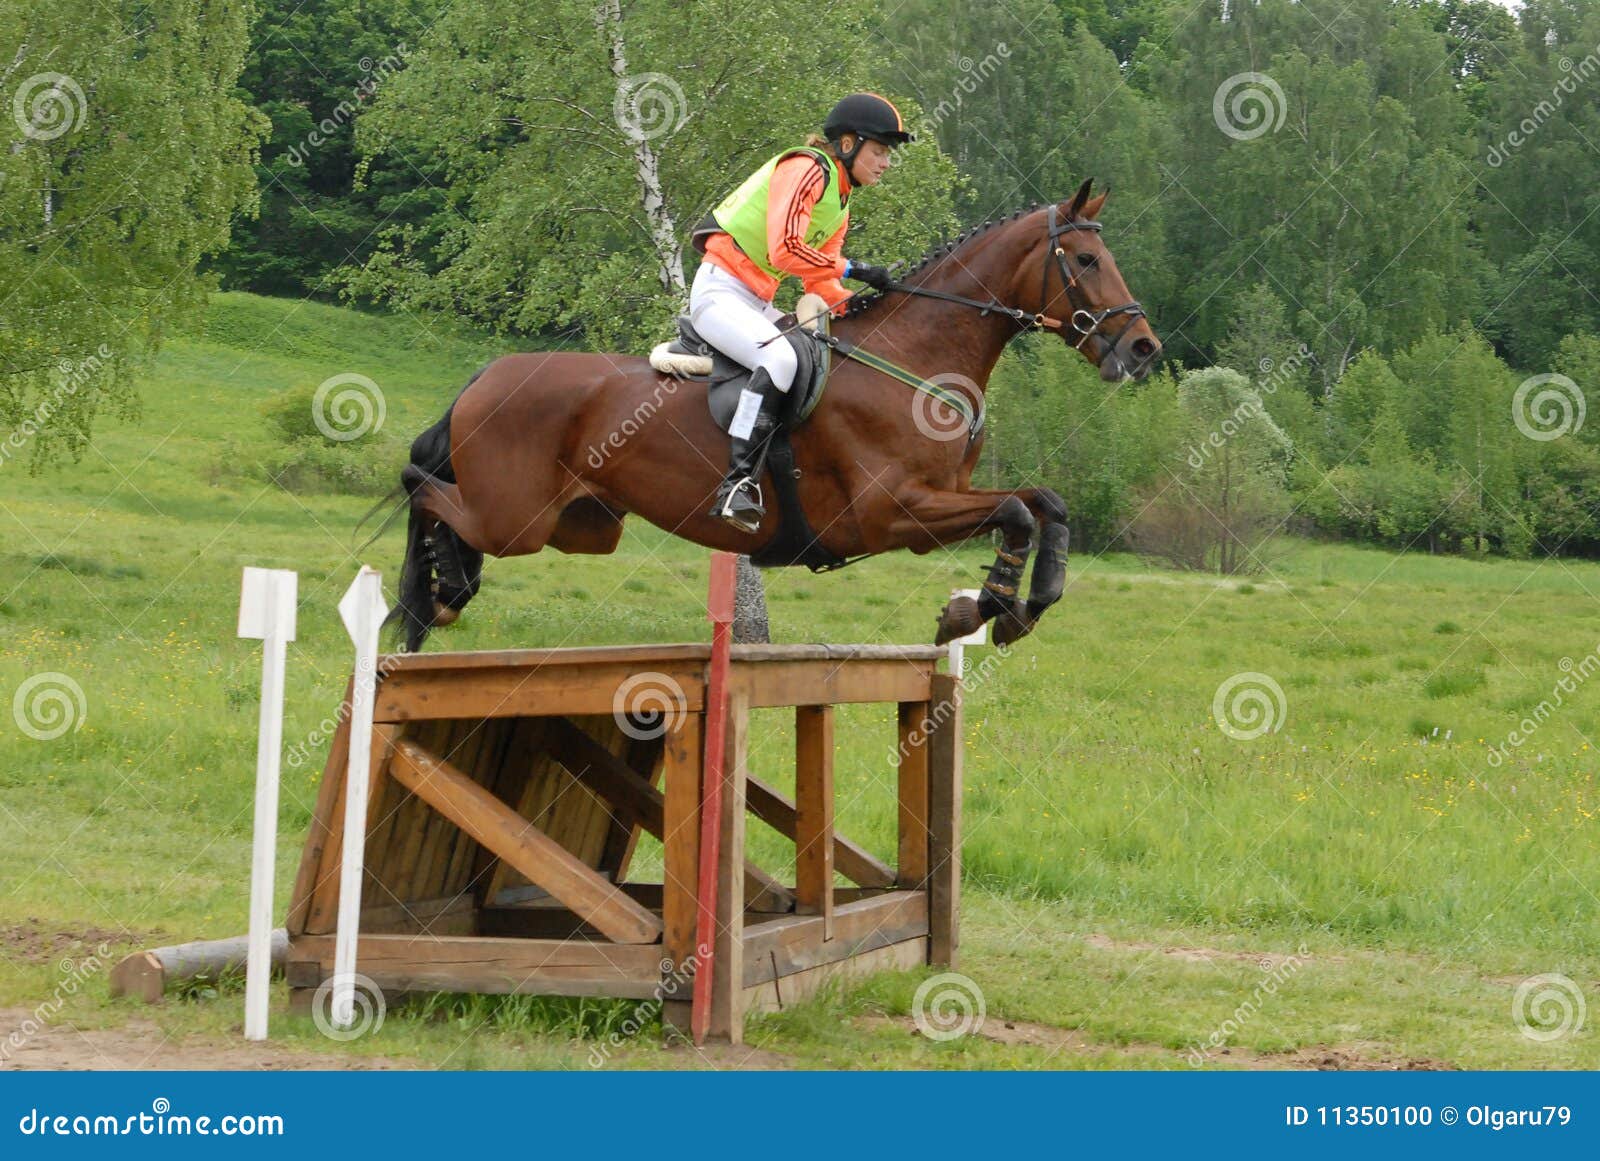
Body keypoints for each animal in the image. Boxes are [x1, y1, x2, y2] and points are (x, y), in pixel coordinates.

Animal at [387, 178, 1162, 652]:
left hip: (580, 526)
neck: (916, 360)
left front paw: (1019, 608)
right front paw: (977, 609)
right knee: (423, 490)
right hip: (515, 516)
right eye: (1085, 259)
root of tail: (487, 374)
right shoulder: (893, 511)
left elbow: (1045, 504)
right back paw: (436, 596)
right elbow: (1019, 513)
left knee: (440, 501)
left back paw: (443, 595)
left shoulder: (941, 498)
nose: (1143, 348)